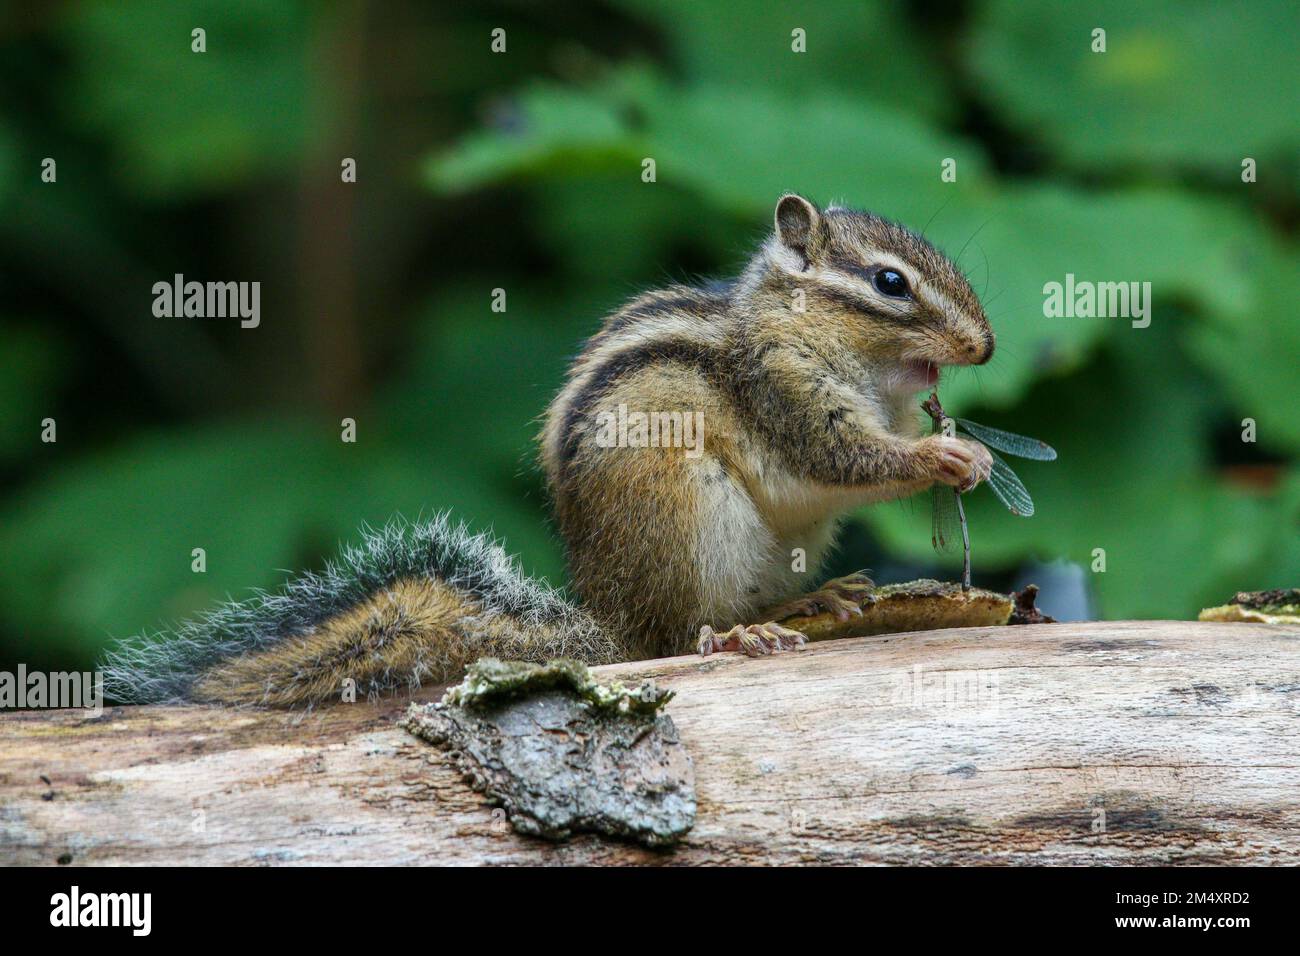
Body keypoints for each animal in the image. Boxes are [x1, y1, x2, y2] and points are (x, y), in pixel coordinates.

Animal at [103, 193, 995, 708]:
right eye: (889, 283)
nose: (984, 347)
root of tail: (604, 622)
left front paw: (963, 447)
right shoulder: (782, 387)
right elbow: (841, 457)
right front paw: (944, 459)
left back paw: (814, 599)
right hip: (689, 515)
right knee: (677, 636)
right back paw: (743, 634)